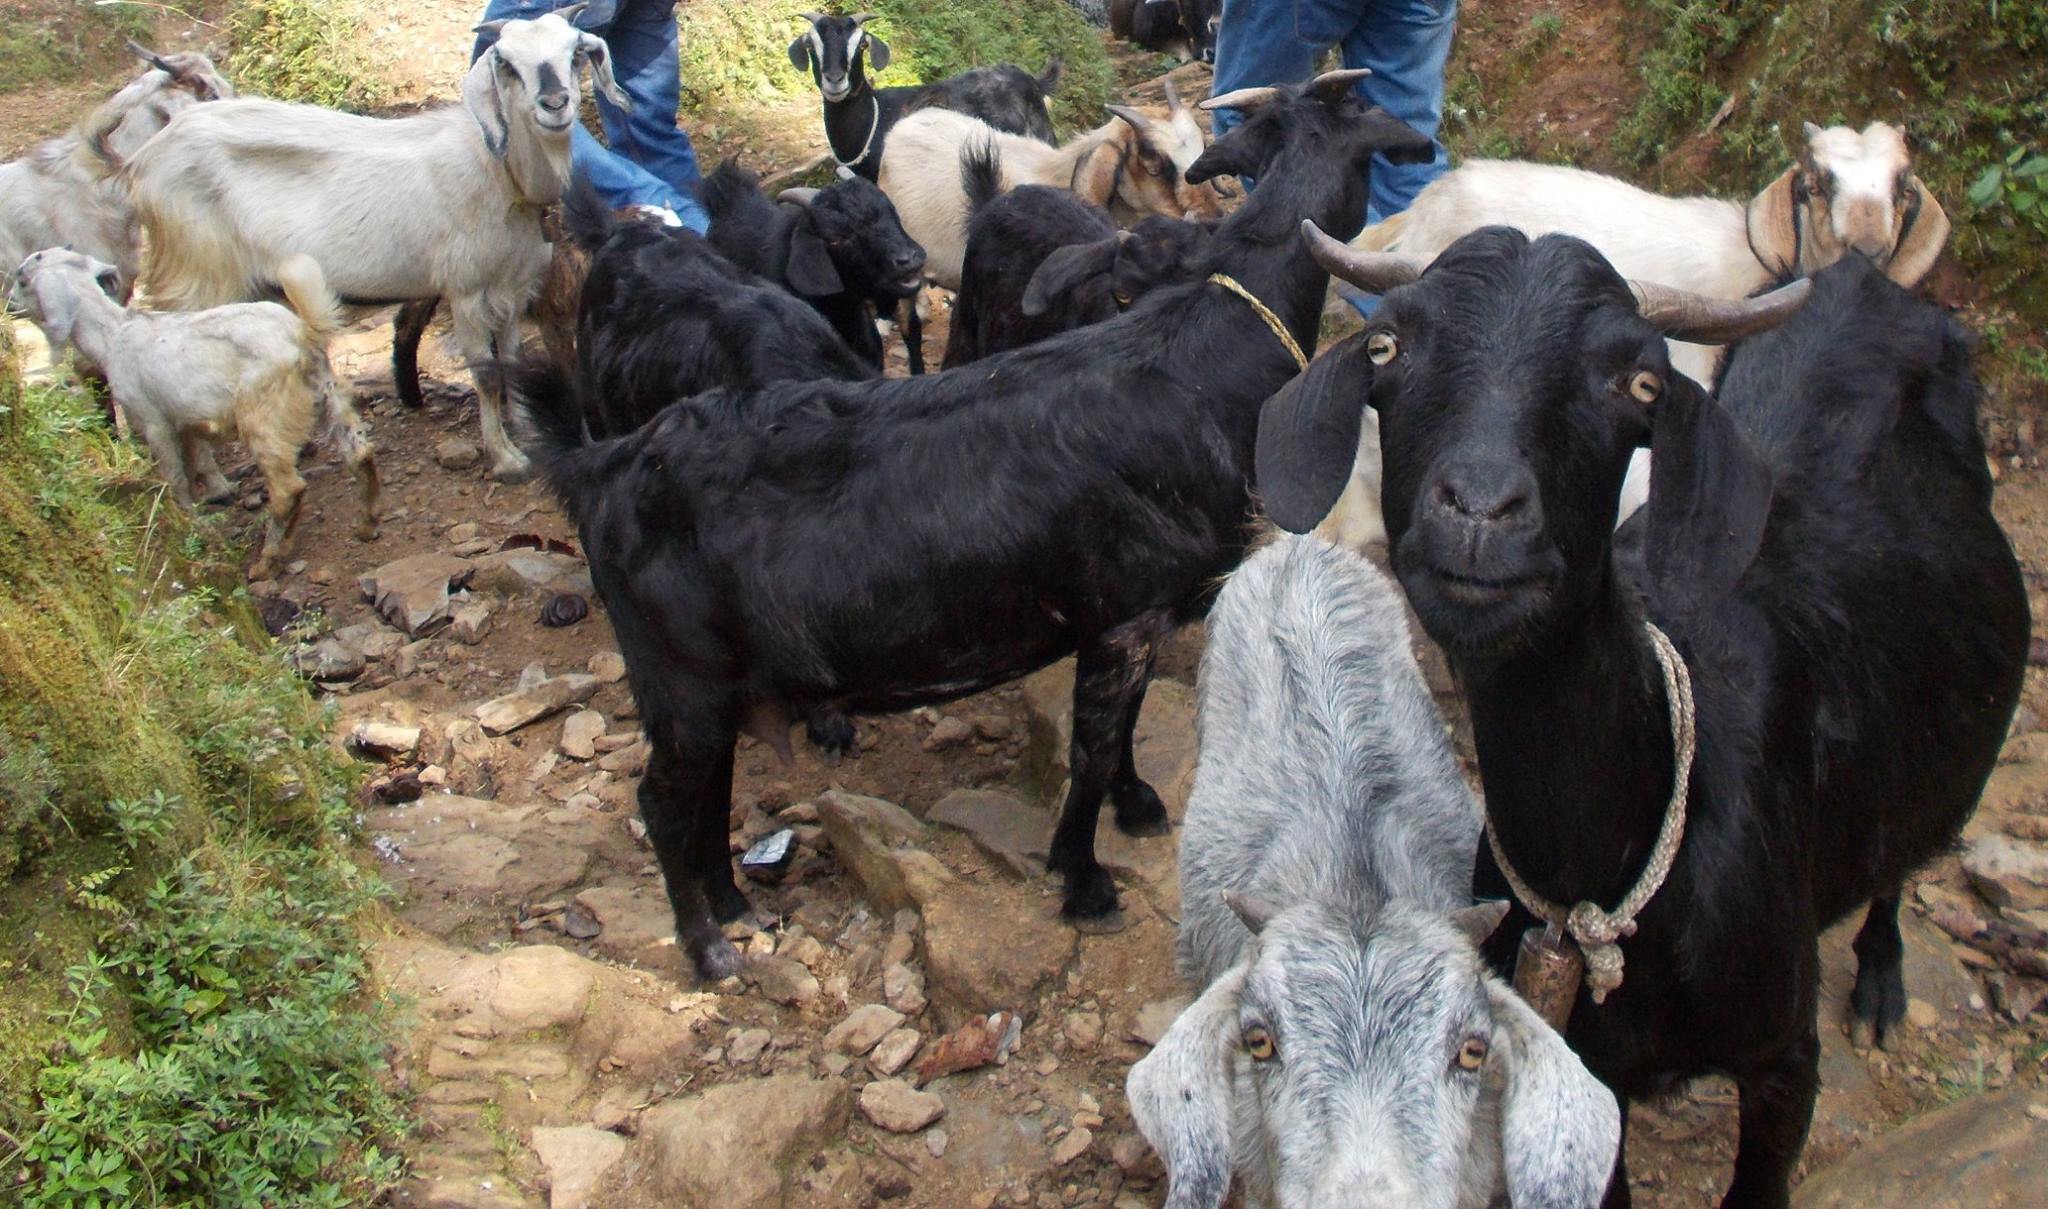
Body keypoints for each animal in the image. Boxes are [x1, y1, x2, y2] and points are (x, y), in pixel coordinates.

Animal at [10, 248, 378, 580]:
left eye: (23, 278)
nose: (9, 303)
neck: (113, 336)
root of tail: (304, 334)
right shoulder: (183, 420)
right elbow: (192, 461)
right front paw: (213, 497)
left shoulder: (153, 420)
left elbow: (174, 477)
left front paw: (191, 524)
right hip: (328, 393)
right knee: (359, 452)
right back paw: (366, 524)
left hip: (263, 415)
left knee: (288, 488)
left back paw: (267, 562)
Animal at [124, 12, 624, 481]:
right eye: (506, 64)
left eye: (576, 53)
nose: (555, 104)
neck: (496, 172)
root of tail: (142, 162)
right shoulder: (465, 290)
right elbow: (486, 376)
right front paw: (505, 459)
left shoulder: (514, 285)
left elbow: (513, 363)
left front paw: (526, 432)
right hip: (198, 273)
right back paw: (211, 478)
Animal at [1257, 225, 2027, 1207]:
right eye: (1387, 347)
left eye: (1640, 383)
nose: (1479, 512)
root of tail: (1864, 279)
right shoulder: (1586, 1072)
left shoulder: (1785, 1055)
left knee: (1898, 858)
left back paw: (1882, 984)